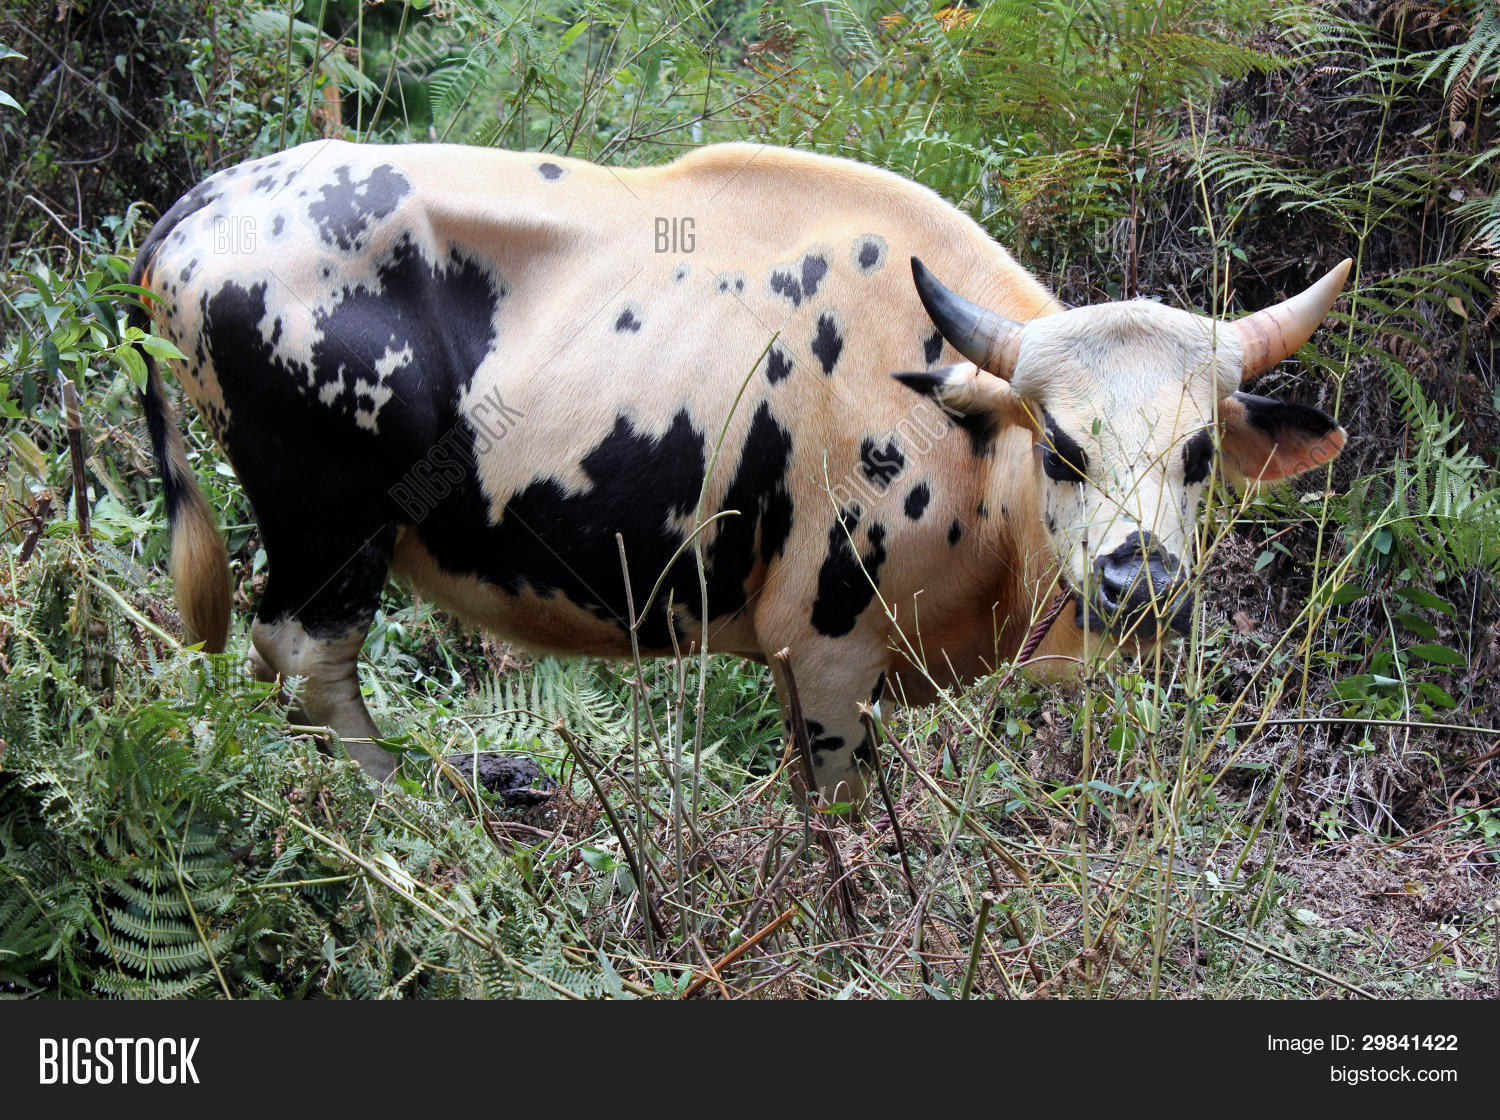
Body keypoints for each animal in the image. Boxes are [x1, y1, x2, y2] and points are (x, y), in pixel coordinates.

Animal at [128, 140, 1350, 803]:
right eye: (1063, 444)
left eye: (1199, 453)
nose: (1138, 580)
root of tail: (212, 198)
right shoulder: (830, 652)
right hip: (331, 524)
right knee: (308, 656)